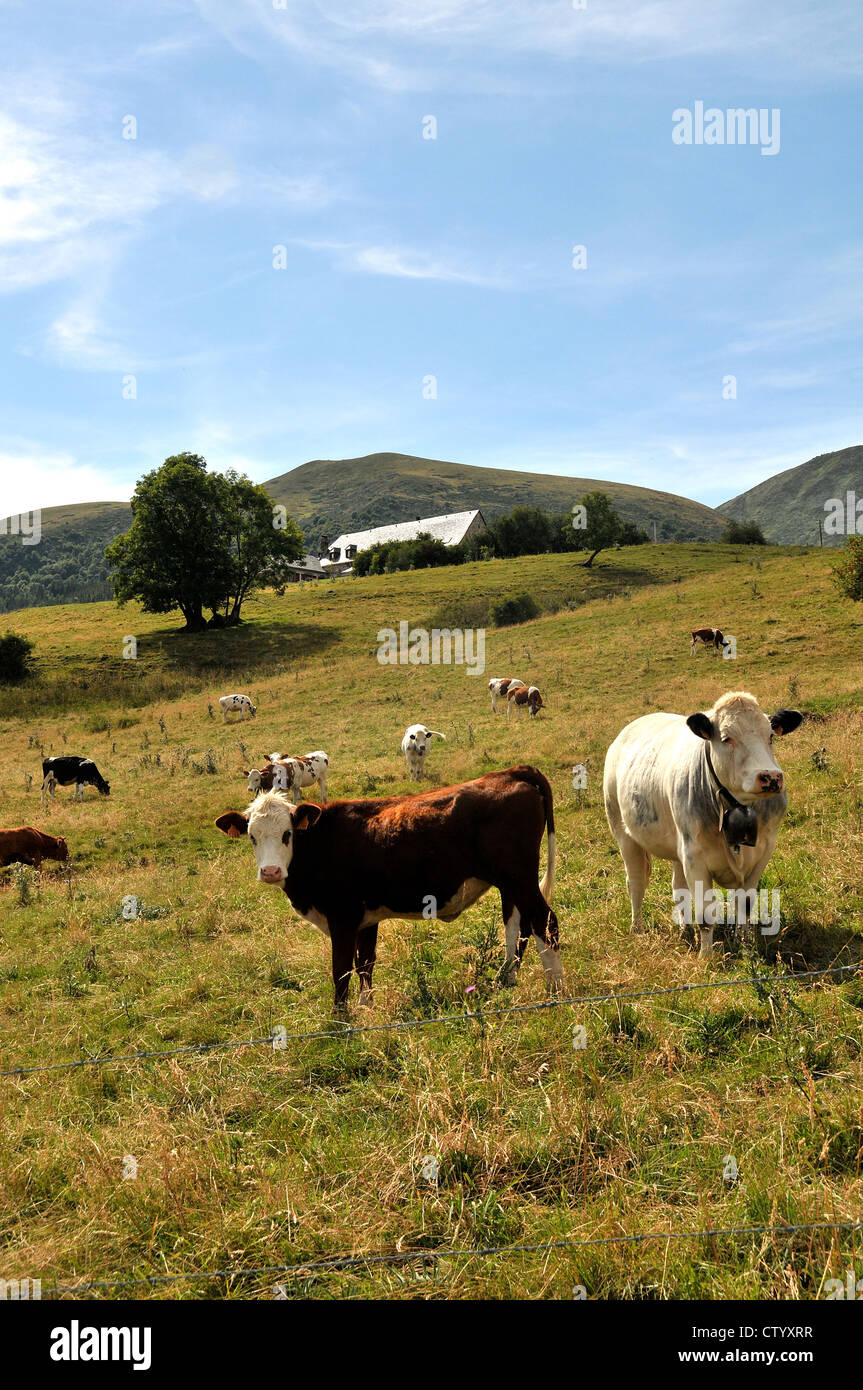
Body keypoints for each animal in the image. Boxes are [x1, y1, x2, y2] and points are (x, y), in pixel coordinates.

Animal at [214, 765, 561, 1011]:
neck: (323, 842)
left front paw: (340, 1021)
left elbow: (341, 970)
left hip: (520, 879)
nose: (270, 871)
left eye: (288, 834)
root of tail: (510, 772)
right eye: (252, 836)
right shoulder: (366, 920)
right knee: (517, 928)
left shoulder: (343, 919)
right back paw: (506, 981)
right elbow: (365, 963)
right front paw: (366, 1008)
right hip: (510, 884)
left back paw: (556, 991)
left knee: (545, 923)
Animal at [603, 691, 803, 958]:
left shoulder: (763, 852)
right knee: (636, 883)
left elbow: (745, 904)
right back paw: (638, 930)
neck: (738, 806)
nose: (771, 777)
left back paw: (684, 929)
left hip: (678, 847)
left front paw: (744, 945)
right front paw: (706, 957)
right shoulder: (695, 858)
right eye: (727, 738)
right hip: (624, 834)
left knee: (678, 889)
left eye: (770, 736)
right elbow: (706, 914)